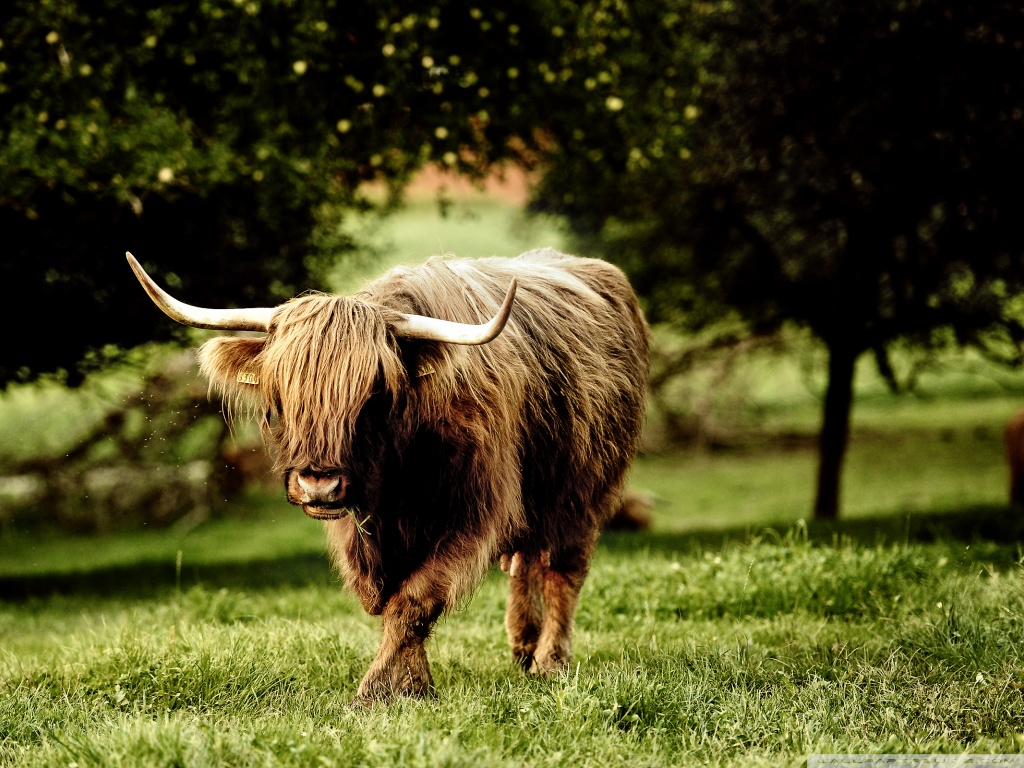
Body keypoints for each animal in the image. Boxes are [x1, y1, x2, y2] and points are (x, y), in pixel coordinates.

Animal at [126, 247, 650, 704]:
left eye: (373, 395)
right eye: (281, 394)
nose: (319, 484)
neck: (399, 471)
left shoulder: (473, 513)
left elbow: (415, 600)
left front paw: (377, 691)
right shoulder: (360, 530)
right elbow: (385, 600)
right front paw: (414, 685)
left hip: (582, 490)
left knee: (563, 569)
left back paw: (549, 662)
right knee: (525, 562)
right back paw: (522, 646)